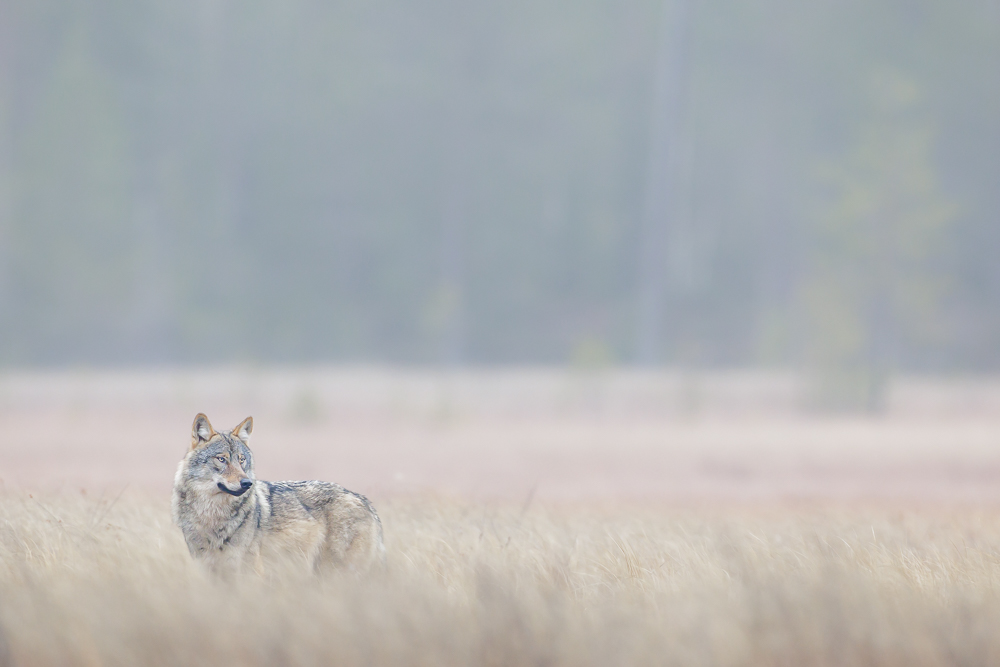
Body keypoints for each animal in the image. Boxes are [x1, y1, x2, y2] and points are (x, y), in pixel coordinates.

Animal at [172, 413, 384, 576]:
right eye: (221, 459)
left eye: (241, 460)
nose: (247, 483)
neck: (212, 517)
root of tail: (365, 501)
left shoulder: (251, 574)